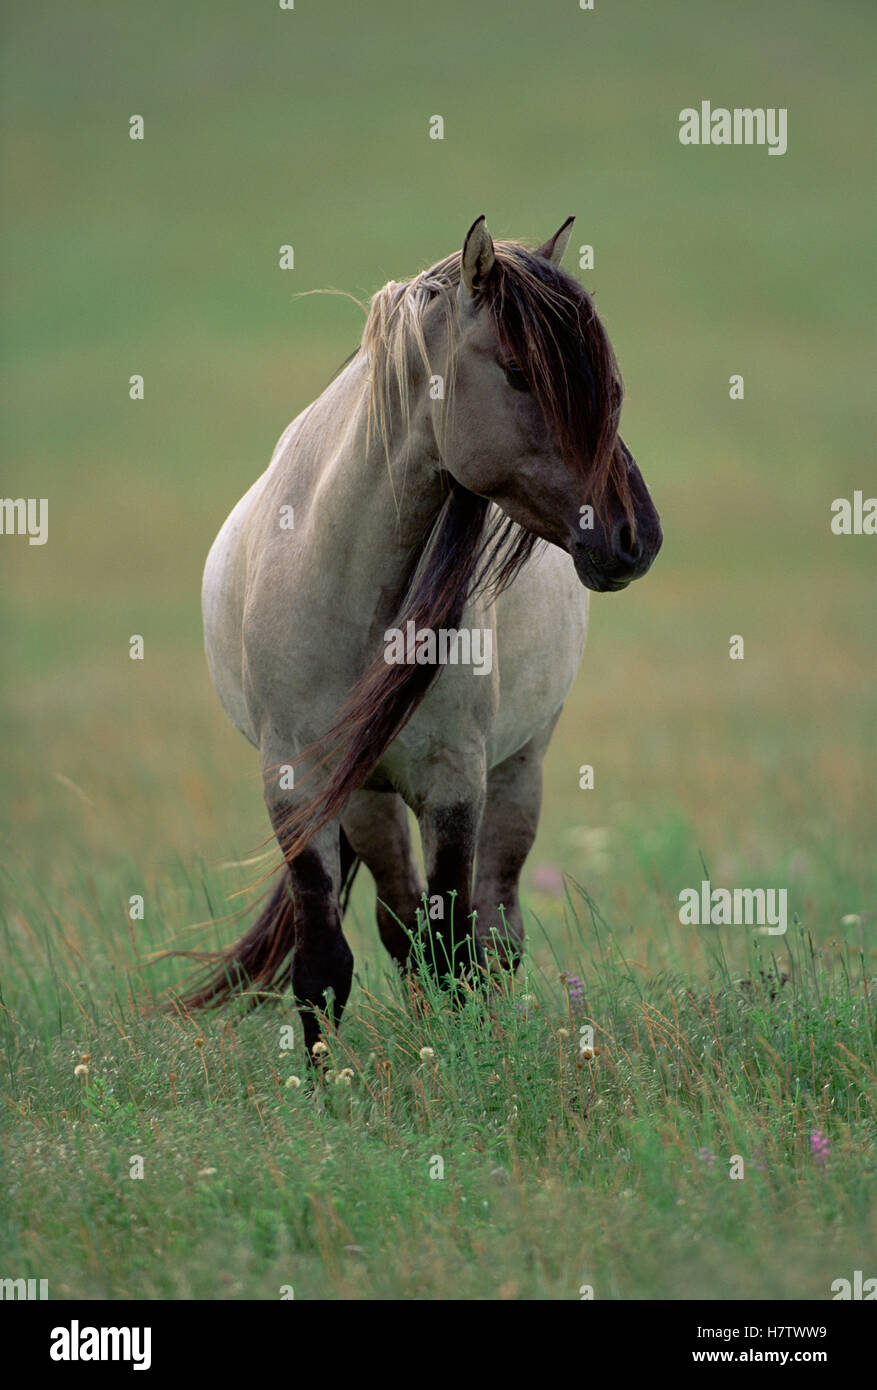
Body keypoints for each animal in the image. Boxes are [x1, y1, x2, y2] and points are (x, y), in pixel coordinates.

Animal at [184, 215, 662, 1056]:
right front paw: (330, 1078)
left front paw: (472, 1063)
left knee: (494, 929)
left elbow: (457, 950)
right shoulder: (298, 784)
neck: (348, 589)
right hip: (369, 799)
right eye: (518, 372)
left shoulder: (454, 782)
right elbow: (327, 962)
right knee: (398, 920)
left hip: (518, 770)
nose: (636, 536)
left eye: (608, 384)